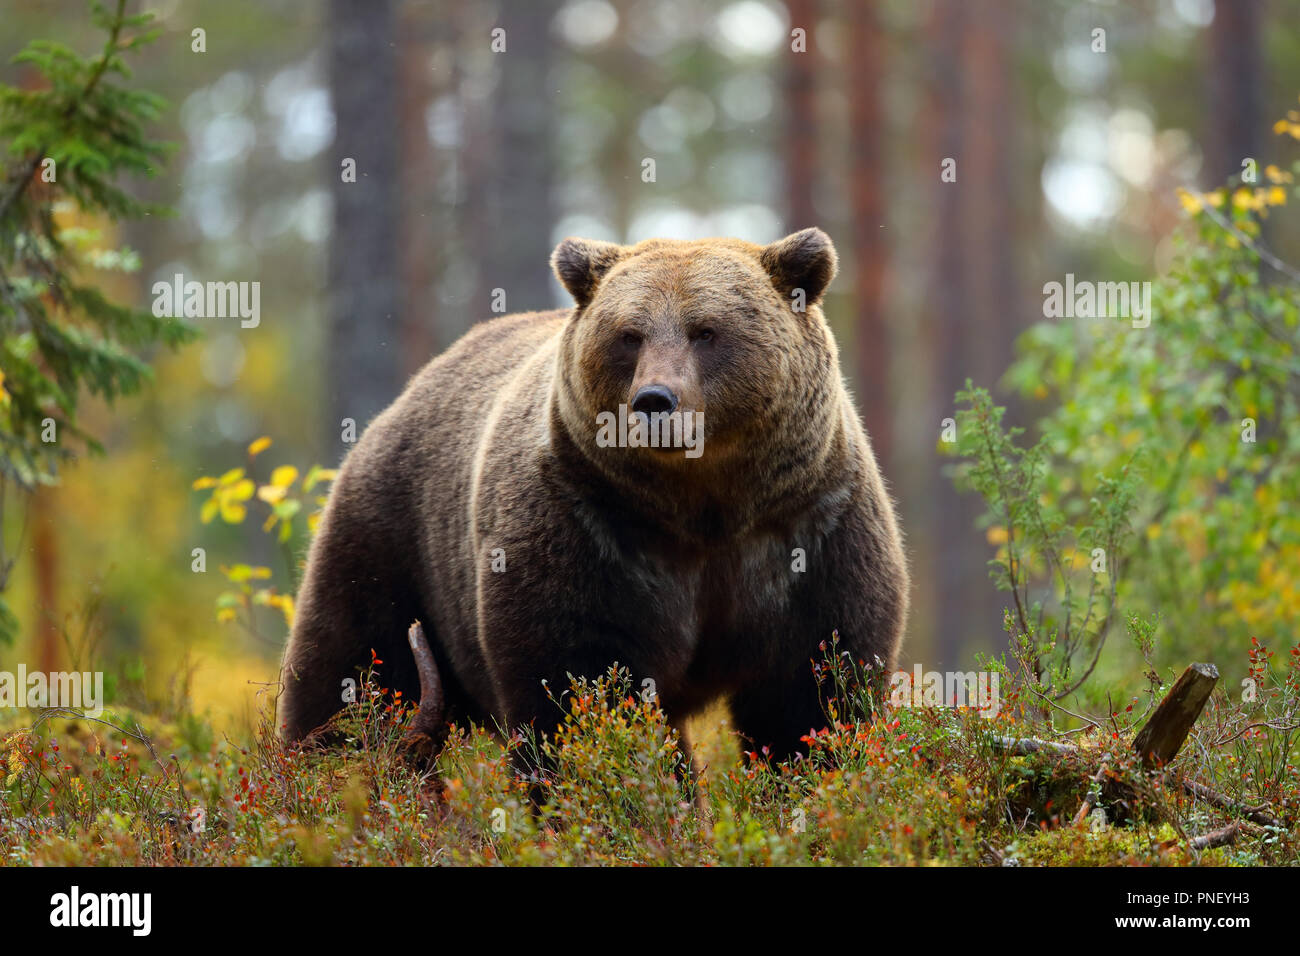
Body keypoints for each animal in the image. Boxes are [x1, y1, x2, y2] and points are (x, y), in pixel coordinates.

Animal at [279, 227, 909, 767]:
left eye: (706, 331)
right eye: (629, 335)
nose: (655, 400)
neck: (706, 508)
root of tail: (407, 394)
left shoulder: (809, 527)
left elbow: (812, 693)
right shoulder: (587, 525)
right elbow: (578, 686)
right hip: (393, 539)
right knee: (350, 670)